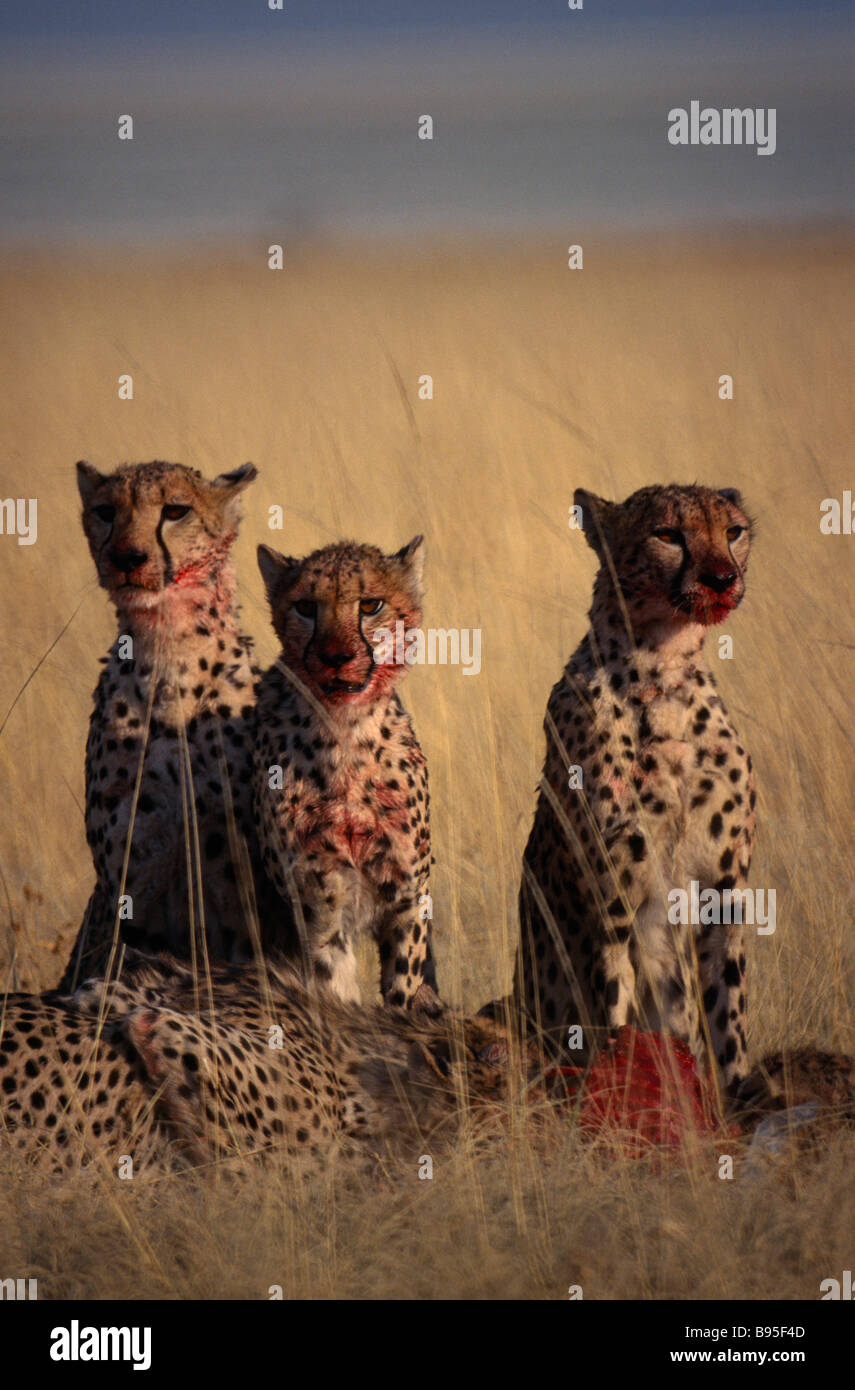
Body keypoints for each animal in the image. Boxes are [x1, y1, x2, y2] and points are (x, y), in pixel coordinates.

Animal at [59, 459, 287, 993]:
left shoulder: (236, 893)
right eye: (105, 511)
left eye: (176, 511)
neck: (169, 653)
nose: (127, 556)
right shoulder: (130, 886)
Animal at [252, 537, 435, 1009]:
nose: (336, 657)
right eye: (305, 607)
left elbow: (403, 985)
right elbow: (331, 982)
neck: (345, 732)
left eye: (371, 605)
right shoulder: (319, 900)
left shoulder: (408, 898)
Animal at [512, 483, 756, 1095]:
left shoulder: (725, 891)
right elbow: (617, 1017)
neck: (663, 671)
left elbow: (729, 1019)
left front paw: (744, 1095)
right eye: (667, 534)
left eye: (733, 531)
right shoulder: (614, 900)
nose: (722, 578)